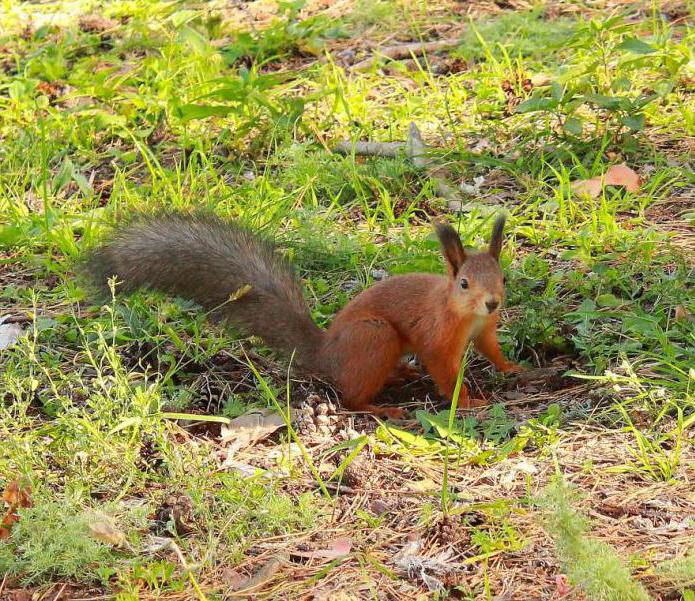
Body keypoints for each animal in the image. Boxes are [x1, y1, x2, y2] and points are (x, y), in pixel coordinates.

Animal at [85, 213, 520, 420]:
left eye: (503, 277)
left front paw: (511, 368)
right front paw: (466, 400)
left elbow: (491, 349)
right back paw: (381, 408)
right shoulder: (436, 337)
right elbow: (443, 370)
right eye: (463, 283)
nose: (492, 303)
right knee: (350, 398)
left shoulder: (484, 330)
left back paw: (400, 375)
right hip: (375, 336)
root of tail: (325, 353)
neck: (465, 315)